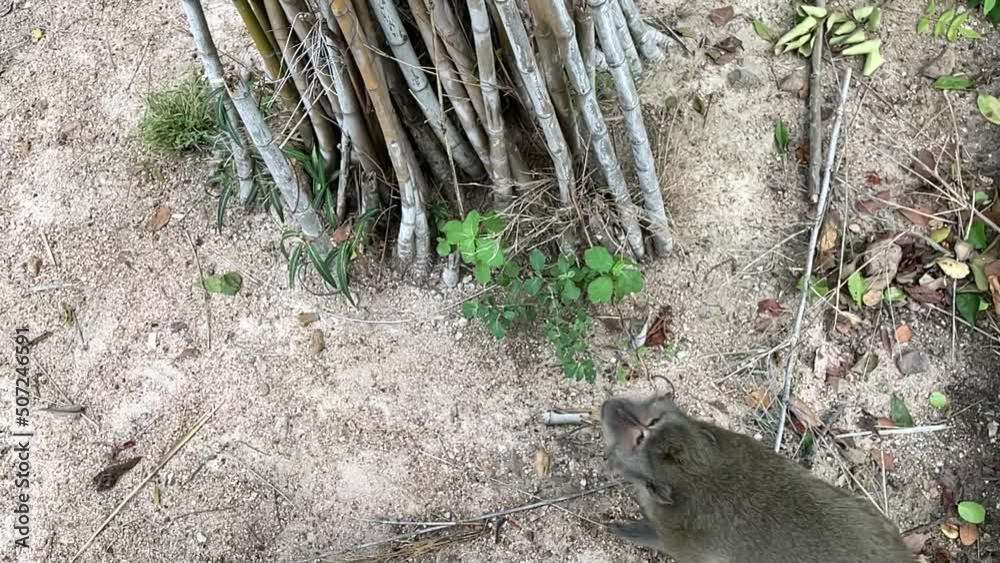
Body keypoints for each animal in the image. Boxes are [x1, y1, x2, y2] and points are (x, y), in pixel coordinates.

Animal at [600, 394, 914, 563]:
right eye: (652, 421)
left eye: (639, 437)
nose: (609, 406)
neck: (701, 474)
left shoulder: (680, 536)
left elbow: (659, 538)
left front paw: (625, 529)